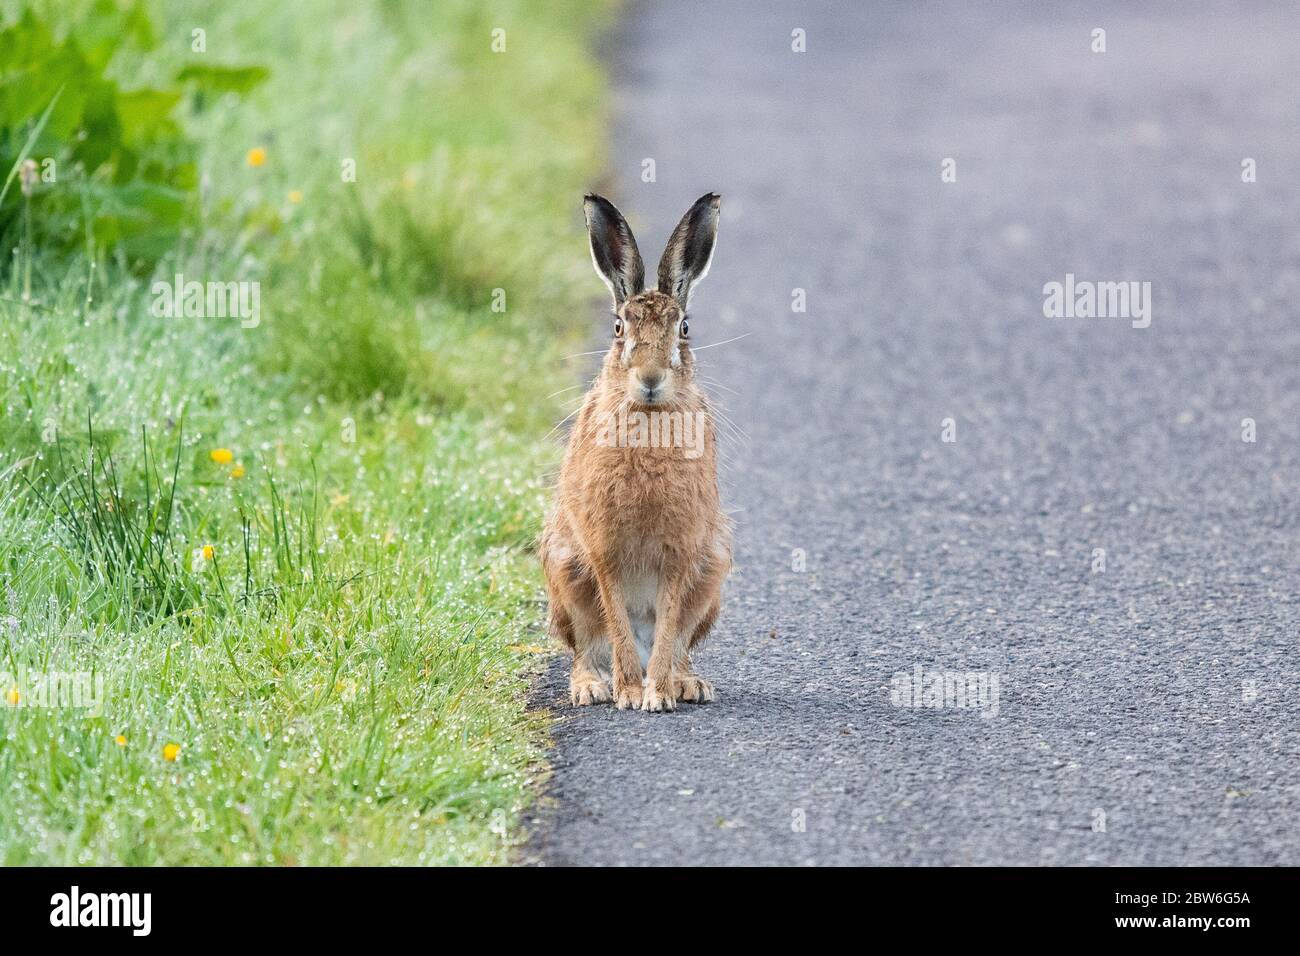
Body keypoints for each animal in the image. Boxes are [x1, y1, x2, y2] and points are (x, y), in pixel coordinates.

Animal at [540, 192, 732, 712]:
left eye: (683, 328)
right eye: (618, 327)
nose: (649, 379)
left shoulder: (682, 551)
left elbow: (668, 629)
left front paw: (658, 694)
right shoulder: (603, 550)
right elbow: (617, 624)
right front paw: (629, 693)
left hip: (713, 570)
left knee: (678, 640)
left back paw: (687, 683)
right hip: (566, 571)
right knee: (586, 646)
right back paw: (592, 687)